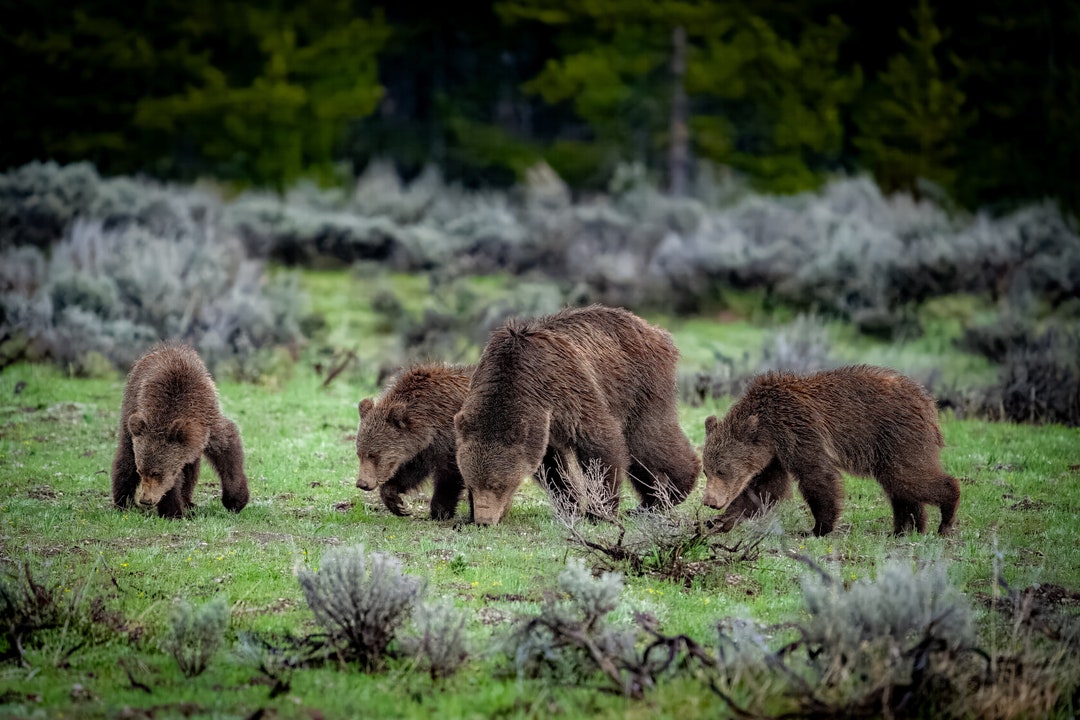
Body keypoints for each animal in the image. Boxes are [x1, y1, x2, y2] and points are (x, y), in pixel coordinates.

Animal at [111, 344, 250, 518]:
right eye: (141, 471)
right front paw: (173, 511)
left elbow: (228, 451)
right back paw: (123, 503)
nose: (145, 500)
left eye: (156, 473)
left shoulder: (209, 422)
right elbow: (173, 480)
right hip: (130, 415)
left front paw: (235, 500)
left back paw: (188, 502)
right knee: (125, 458)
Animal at [356, 363, 473, 520]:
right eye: (359, 454)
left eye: (374, 454)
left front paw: (440, 511)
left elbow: (449, 475)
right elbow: (412, 472)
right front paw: (397, 503)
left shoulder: (450, 439)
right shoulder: (424, 448)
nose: (362, 483)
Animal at [454, 304, 701, 525]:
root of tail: (656, 330)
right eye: (471, 484)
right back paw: (649, 501)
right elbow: (551, 466)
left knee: (647, 439)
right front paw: (569, 505)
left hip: (640, 385)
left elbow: (601, 441)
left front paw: (598, 512)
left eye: (498, 485)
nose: (483, 520)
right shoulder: (542, 425)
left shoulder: (567, 391)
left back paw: (672, 491)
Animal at [701, 365, 960, 536]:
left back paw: (945, 519)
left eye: (722, 470)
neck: (768, 428)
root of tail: (928, 400)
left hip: (898, 435)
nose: (709, 501)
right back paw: (906, 529)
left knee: (906, 477)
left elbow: (817, 477)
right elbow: (765, 489)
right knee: (899, 486)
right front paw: (720, 521)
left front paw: (817, 528)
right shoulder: (773, 454)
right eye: (706, 470)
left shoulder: (798, 430)